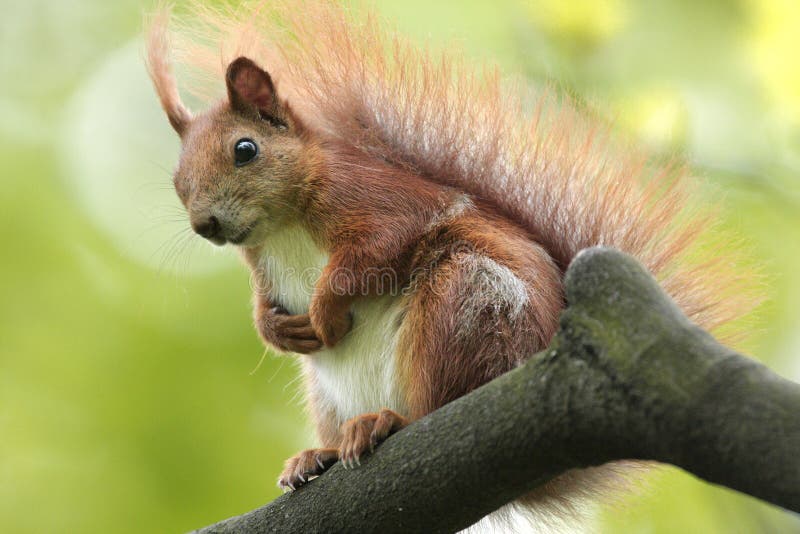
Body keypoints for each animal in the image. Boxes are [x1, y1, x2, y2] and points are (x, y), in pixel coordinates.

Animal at [146, 0, 752, 525]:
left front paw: (323, 311)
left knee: (434, 403)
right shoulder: (262, 265)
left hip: (466, 303)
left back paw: (387, 421)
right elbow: (263, 307)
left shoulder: (378, 202)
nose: (206, 224)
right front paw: (276, 329)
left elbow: (371, 254)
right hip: (331, 391)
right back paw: (318, 455)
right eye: (176, 181)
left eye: (245, 149)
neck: (281, 228)